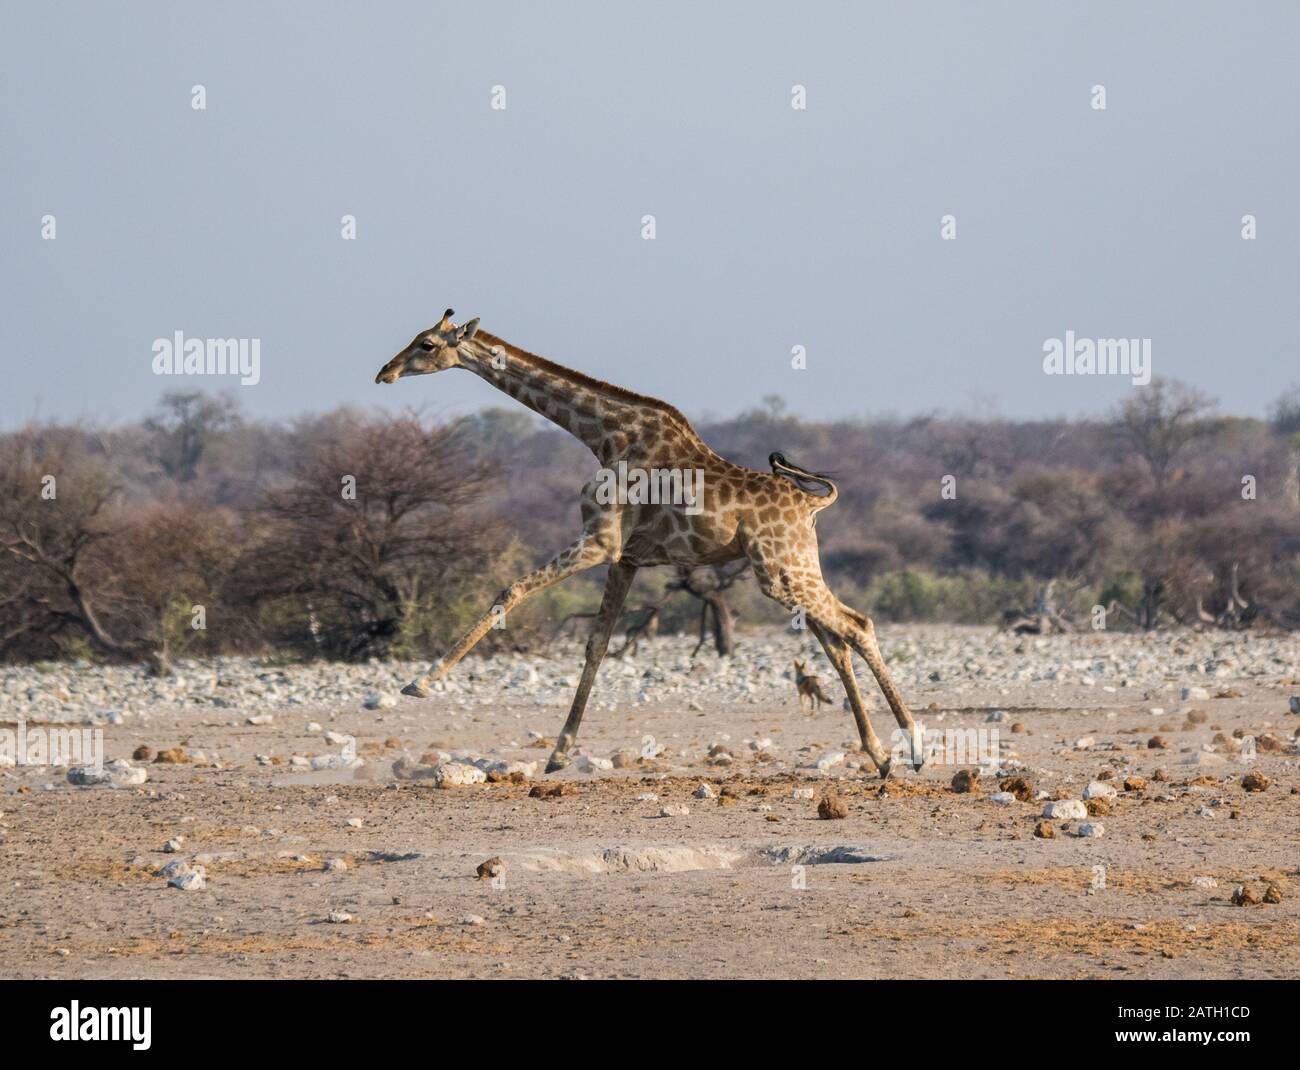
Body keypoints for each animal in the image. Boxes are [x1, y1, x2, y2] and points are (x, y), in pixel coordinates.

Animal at [375, 311, 923, 777]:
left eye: (426, 343)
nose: (385, 372)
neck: (604, 434)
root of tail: (812, 504)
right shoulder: (628, 557)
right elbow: (596, 644)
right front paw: (558, 753)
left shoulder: (600, 542)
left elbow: (512, 590)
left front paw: (419, 683)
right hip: (792, 569)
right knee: (838, 640)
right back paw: (880, 756)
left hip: (781, 571)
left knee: (857, 626)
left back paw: (914, 745)